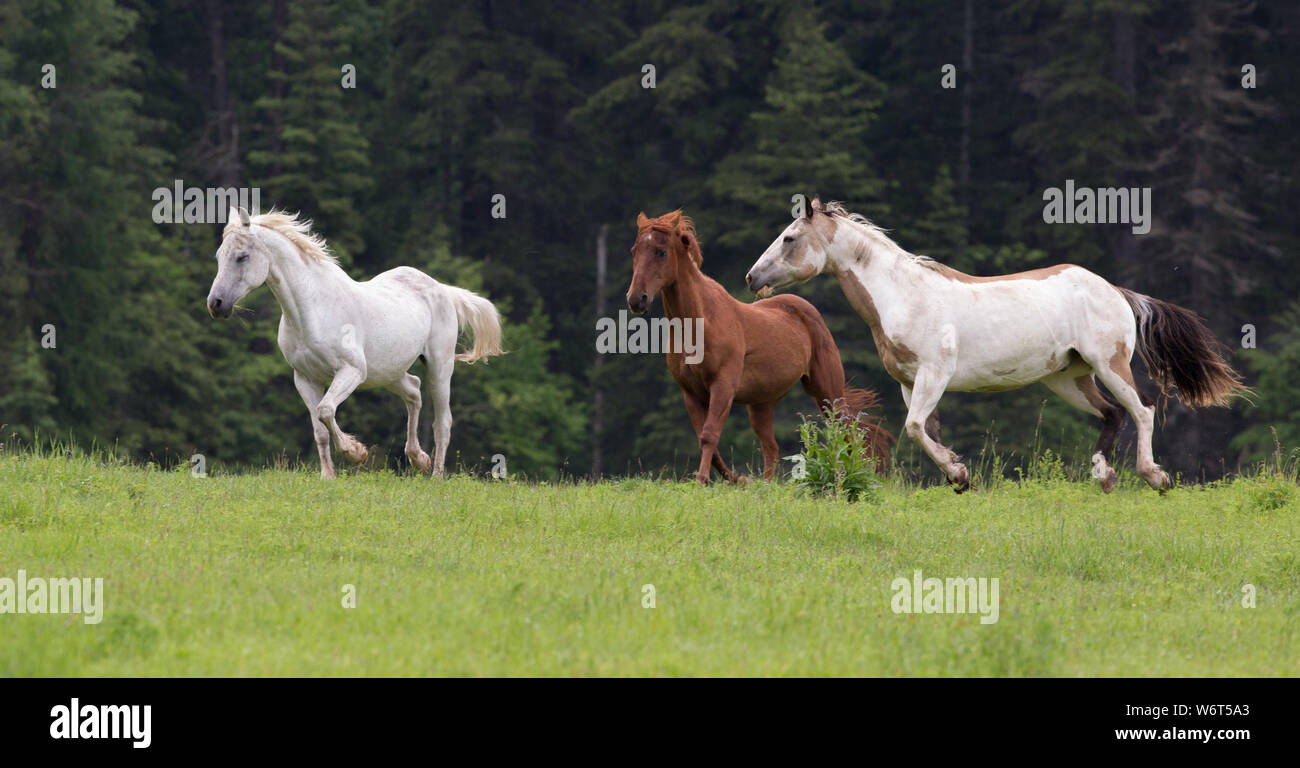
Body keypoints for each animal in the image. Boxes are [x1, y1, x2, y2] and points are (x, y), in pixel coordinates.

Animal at [206, 206, 503, 478]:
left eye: (242, 256)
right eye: (219, 256)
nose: (216, 304)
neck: (313, 310)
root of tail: (441, 289)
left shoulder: (351, 371)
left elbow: (326, 410)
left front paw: (356, 452)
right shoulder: (305, 378)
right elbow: (319, 429)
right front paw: (328, 476)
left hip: (439, 366)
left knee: (442, 422)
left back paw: (436, 477)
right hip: (388, 372)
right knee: (414, 391)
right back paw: (418, 459)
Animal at [626, 209, 891, 485]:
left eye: (661, 252)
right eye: (635, 250)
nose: (636, 299)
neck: (700, 321)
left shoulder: (723, 386)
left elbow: (709, 435)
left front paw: (703, 480)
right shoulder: (692, 394)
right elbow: (707, 440)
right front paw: (737, 479)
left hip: (827, 391)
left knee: (846, 433)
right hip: (762, 405)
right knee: (771, 447)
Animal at [744, 197, 1249, 493]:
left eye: (790, 238)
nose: (752, 277)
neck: (904, 295)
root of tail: (1116, 291)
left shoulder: (935, 374)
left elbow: (915, 428)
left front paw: (958, 474)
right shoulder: (910, 383)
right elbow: (927, 430)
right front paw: (957, 475)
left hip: (1109, 364)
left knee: (1141, 410)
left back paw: (1154, 477)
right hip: (1069, 378)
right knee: (1112, 414)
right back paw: (1102, 476)